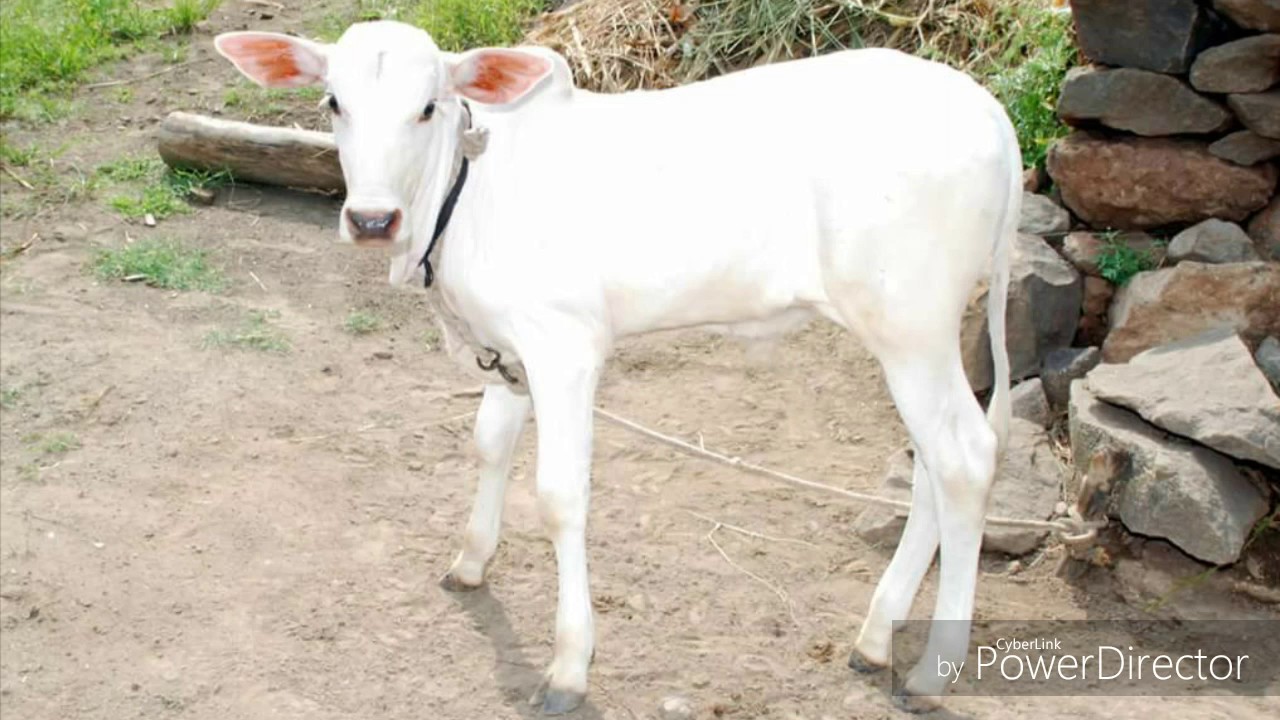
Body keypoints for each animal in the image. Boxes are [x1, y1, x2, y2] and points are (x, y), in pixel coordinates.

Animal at [215, 19, 1018, 715]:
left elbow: (560, 496)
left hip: (911, 325)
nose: (372, 220)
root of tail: (988, 110)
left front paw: (569, 665)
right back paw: (877, 636)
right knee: (929, 467)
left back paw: (933, 671)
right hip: (912, 338)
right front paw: (471, 561)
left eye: (427, 107)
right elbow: (489, 442)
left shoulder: (564, 344)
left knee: (965, 459)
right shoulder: (509, 346)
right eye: (333, 102)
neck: (466, 198)